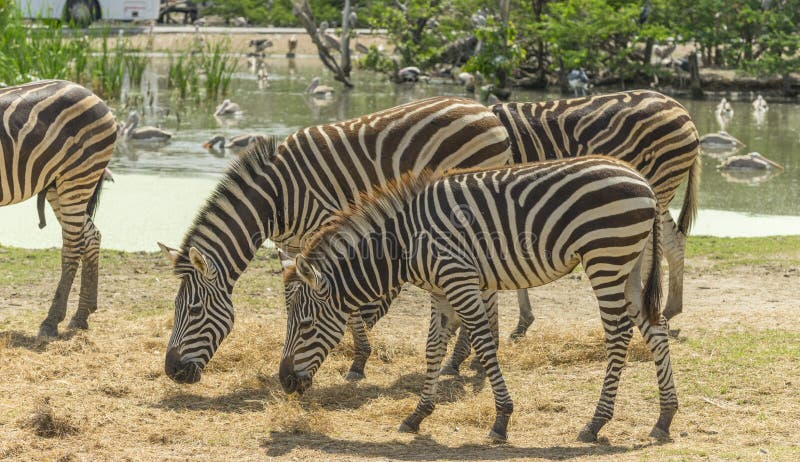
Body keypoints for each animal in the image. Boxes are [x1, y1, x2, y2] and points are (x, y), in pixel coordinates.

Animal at [0, 80, 118, 337]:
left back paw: (51, 321)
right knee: (91, 236)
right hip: (58, 183)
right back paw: (81, 316)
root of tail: (93, 95)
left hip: (78, 176)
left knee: (72, 247)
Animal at [158, 96, 512, 384]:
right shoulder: (291, 246)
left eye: (194, 311)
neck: (276, 198)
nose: (172, 372)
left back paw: (463, 358)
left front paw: (358, 361)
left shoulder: (328, 230)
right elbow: (292, 297)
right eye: (175, 308)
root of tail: (483, 109)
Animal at [279, 157, 677, 442]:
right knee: (655, 328)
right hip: (630, 264)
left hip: (606, 258)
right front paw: (417, 415)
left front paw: (501, 419)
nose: (284, 382)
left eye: (306, 325)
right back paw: (664, 418)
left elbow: (484, 345)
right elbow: (432, 349)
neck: (403, 243)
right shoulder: (440, 290)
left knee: (619, 335)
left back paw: (595, 423)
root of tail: (643, 181)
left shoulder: (459, 279)